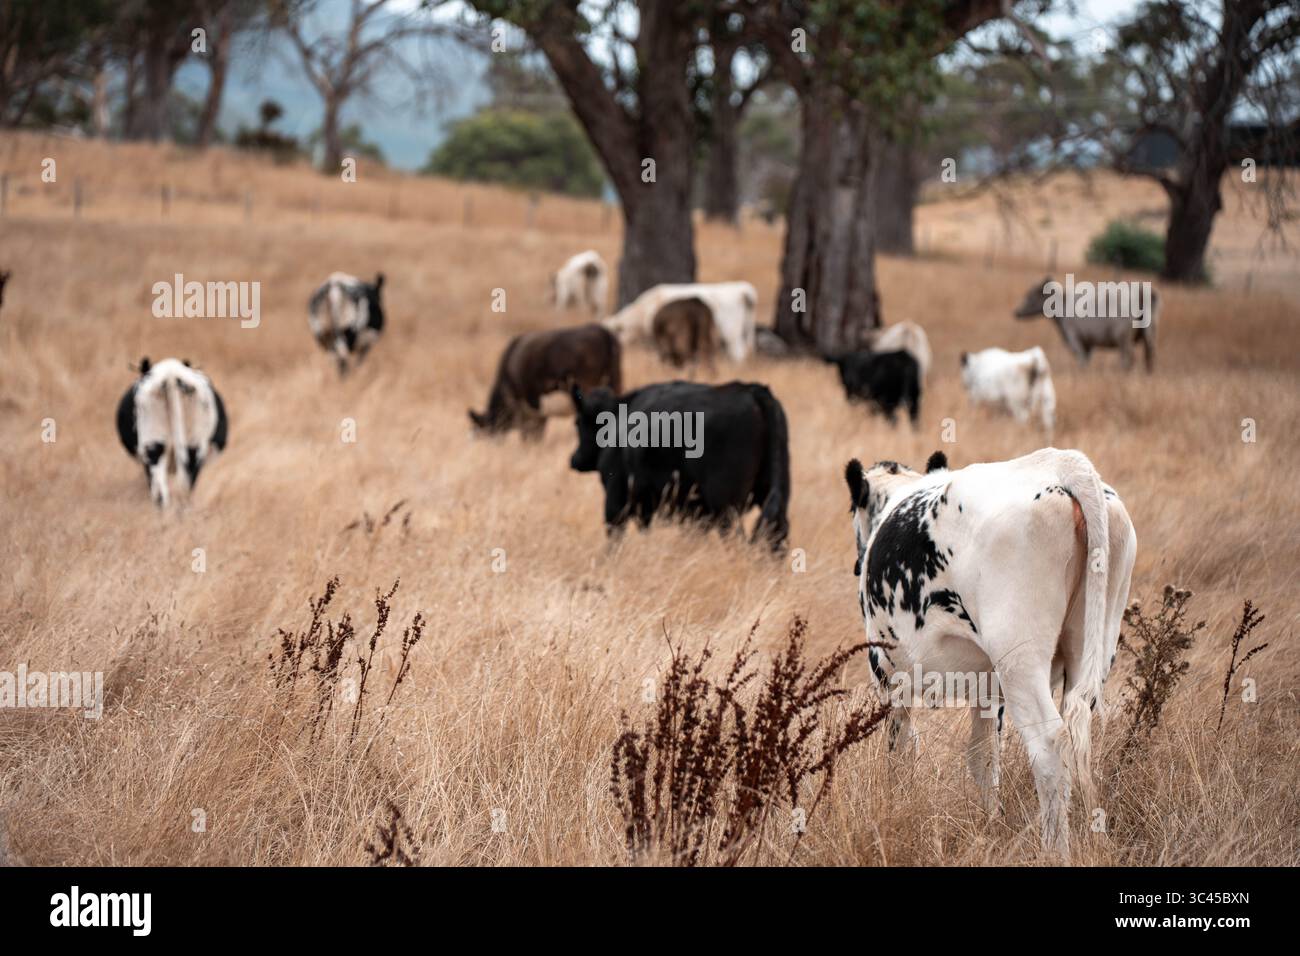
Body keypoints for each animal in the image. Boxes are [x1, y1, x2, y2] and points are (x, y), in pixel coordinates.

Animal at [568, 380, 790, 550]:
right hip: (774, 495)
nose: (574, 459)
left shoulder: (616, 497)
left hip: (725, 504)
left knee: (735, 537)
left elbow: (614, 536)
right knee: (778, 535)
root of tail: (751, 390)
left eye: (578, 423)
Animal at [843, 448, 1137, 856]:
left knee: (1049, 744)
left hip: (1019, 657)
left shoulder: (887, 673)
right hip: (1094, 643)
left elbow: (901, 752)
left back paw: (1054, 850)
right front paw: (991, 824)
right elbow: (982, 757)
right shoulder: (986, 687)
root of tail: (1062, 463)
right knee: (1081, 735)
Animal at [1014, 276, 1158, 372]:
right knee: (1149, 356)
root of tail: (1141, 289)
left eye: (1030, 297)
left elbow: (1082, 361)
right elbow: (1086, 362)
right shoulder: (1088, 343)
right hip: (1149, 336)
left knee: (1129, 358)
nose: (1017, 312)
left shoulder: (1074, 338)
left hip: (1123, 338)